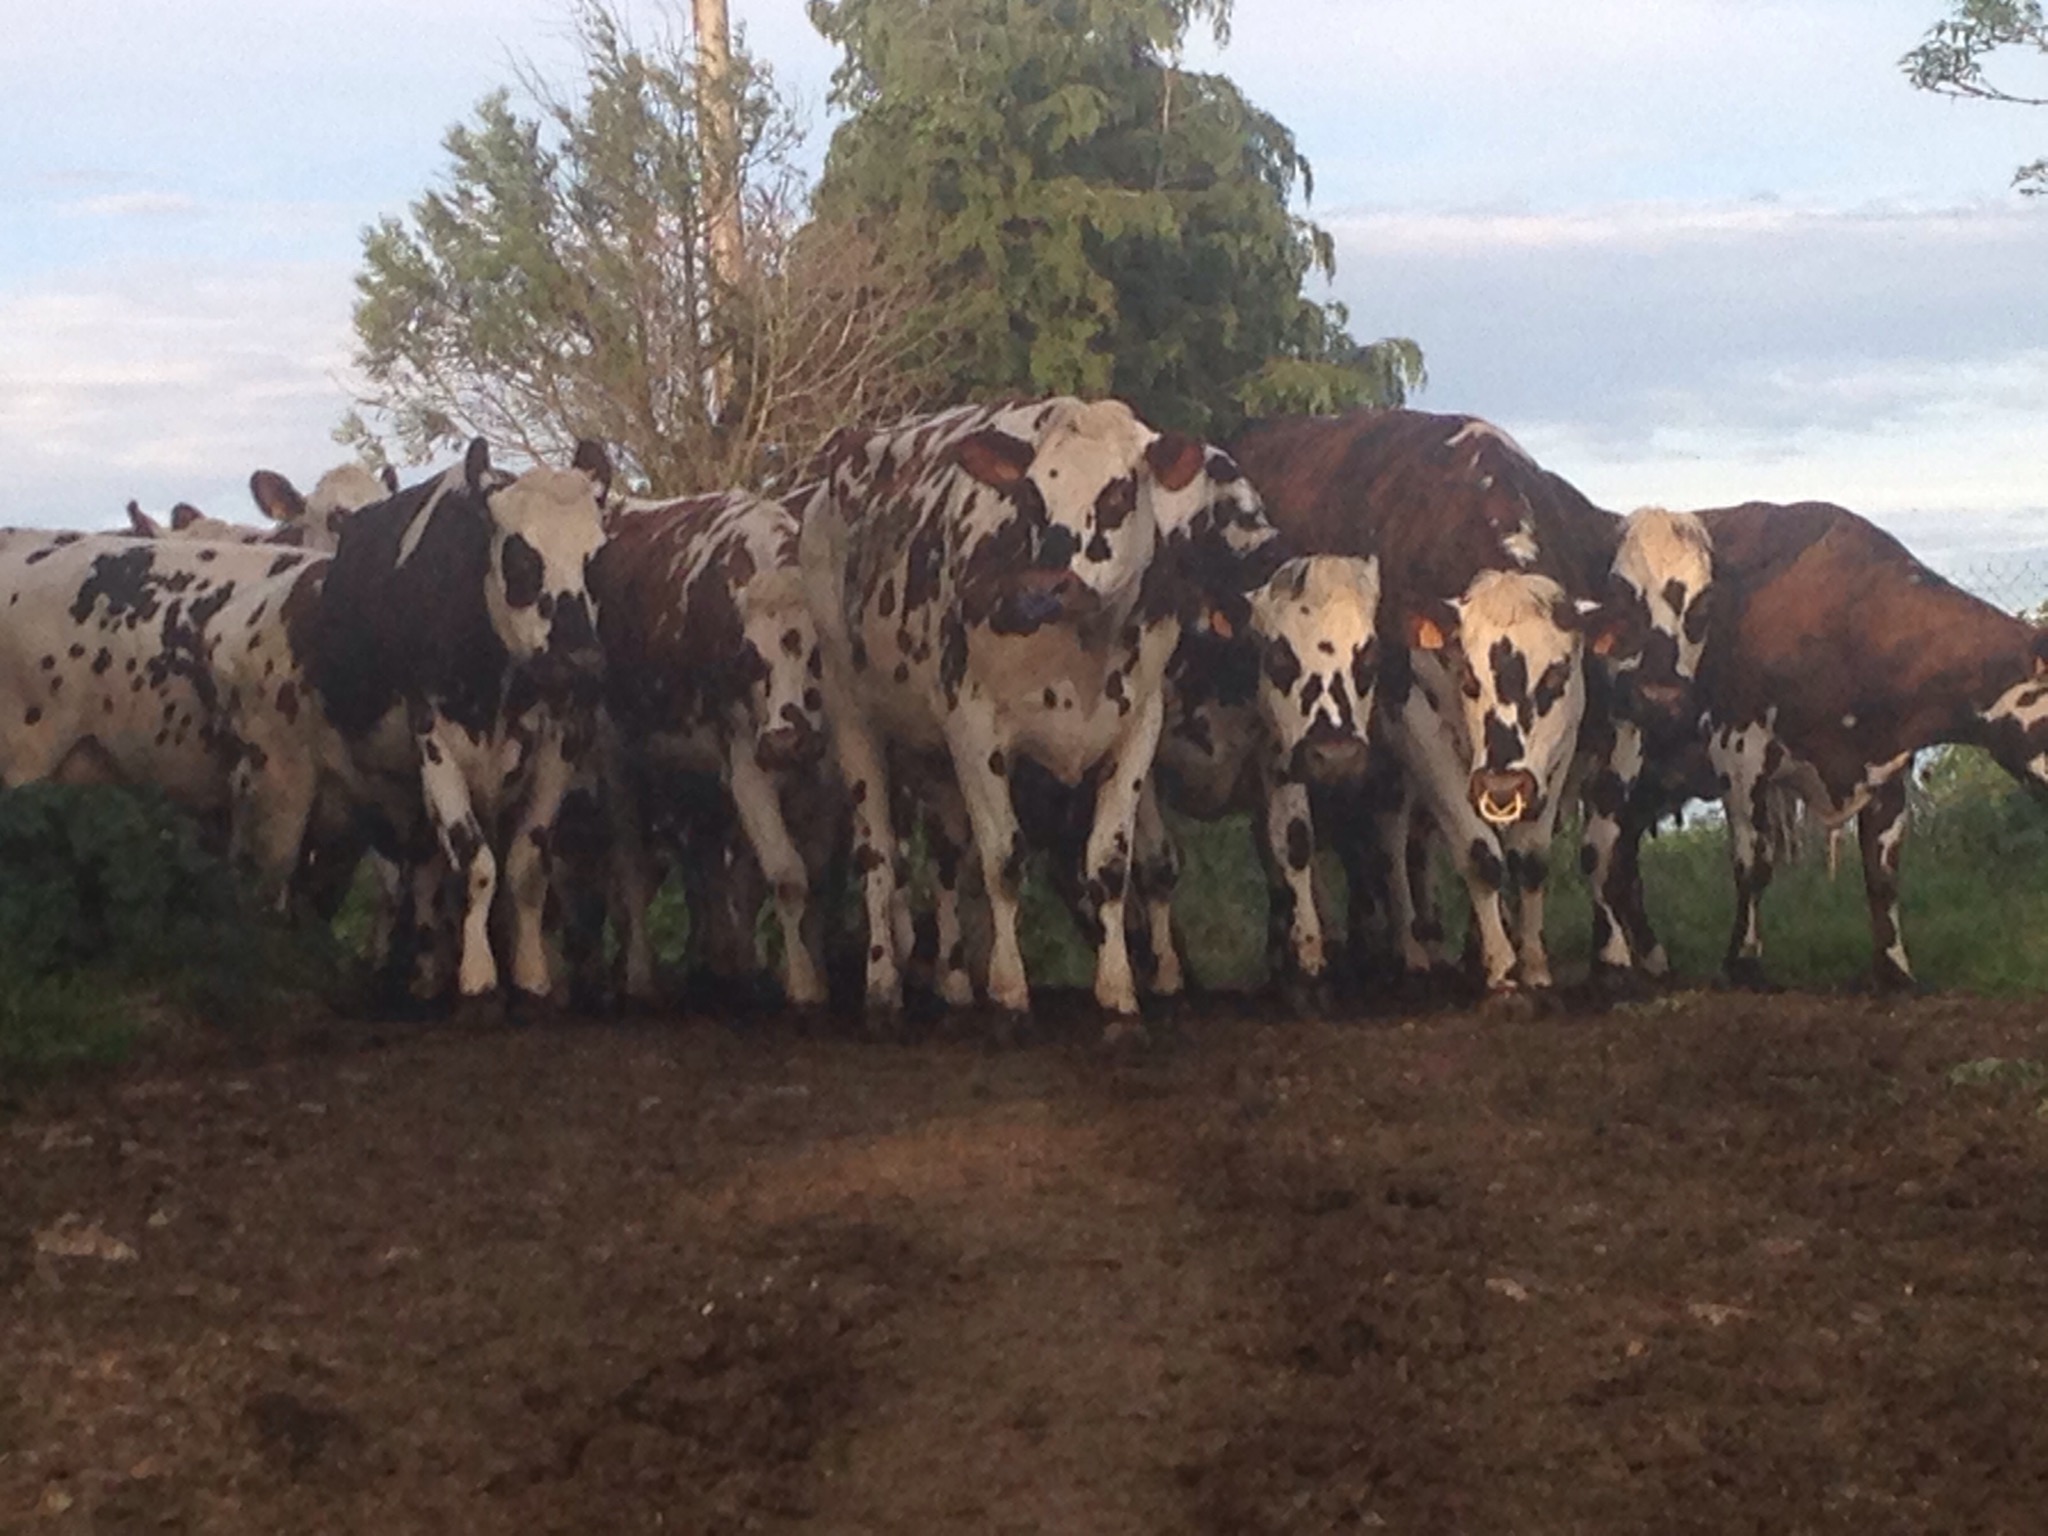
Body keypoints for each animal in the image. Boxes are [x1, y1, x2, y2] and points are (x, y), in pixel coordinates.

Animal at [800, 397, 1280, 1028]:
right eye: (1031, 496)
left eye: (1119, 492)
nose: (1050, 585)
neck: (1083, 648)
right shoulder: (975, 729)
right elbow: (1003, 859)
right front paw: (1009, 994)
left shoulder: (1136, 731)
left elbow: (1109, 865)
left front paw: (1118, 993)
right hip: (852, 717)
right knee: (879, 853)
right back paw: (883, 988)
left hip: (934, 755)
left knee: (947, 859)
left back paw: (955, 982)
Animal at [1227, 409, 1624, 999]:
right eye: (1469, 677)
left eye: (1555, 675)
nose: (1503, 785)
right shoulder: (1415, 724)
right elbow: (1481, 854)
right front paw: (1502, 971)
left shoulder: (1560, 738)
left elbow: (1530, 859)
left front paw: (1532, 963)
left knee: (1393, 838)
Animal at [1582, 500, 2048, 992]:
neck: (1849, 620)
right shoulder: (1741, 750)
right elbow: (1754, 861)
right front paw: (1743, 963)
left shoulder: (1886, 766)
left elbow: (1882, 874)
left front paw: (1895, 971)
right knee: (1603, 852)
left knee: (1622, 861)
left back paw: (1651, 962)